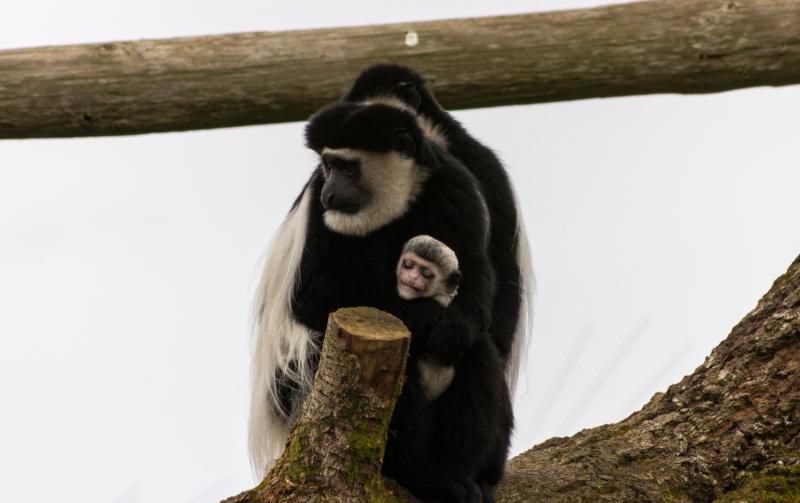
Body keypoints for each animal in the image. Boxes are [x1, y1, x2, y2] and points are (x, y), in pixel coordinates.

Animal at [250, 101, 500, 501]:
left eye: (348, 166)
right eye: (328, 165)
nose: (331, 192)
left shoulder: (453, 185)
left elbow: (474, 267)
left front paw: (454, 327)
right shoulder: (319, 216)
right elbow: (313, 294)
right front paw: (428, 315)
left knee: (478, 353)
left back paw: (463, 475)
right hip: (295, 386)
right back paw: (419, 474)